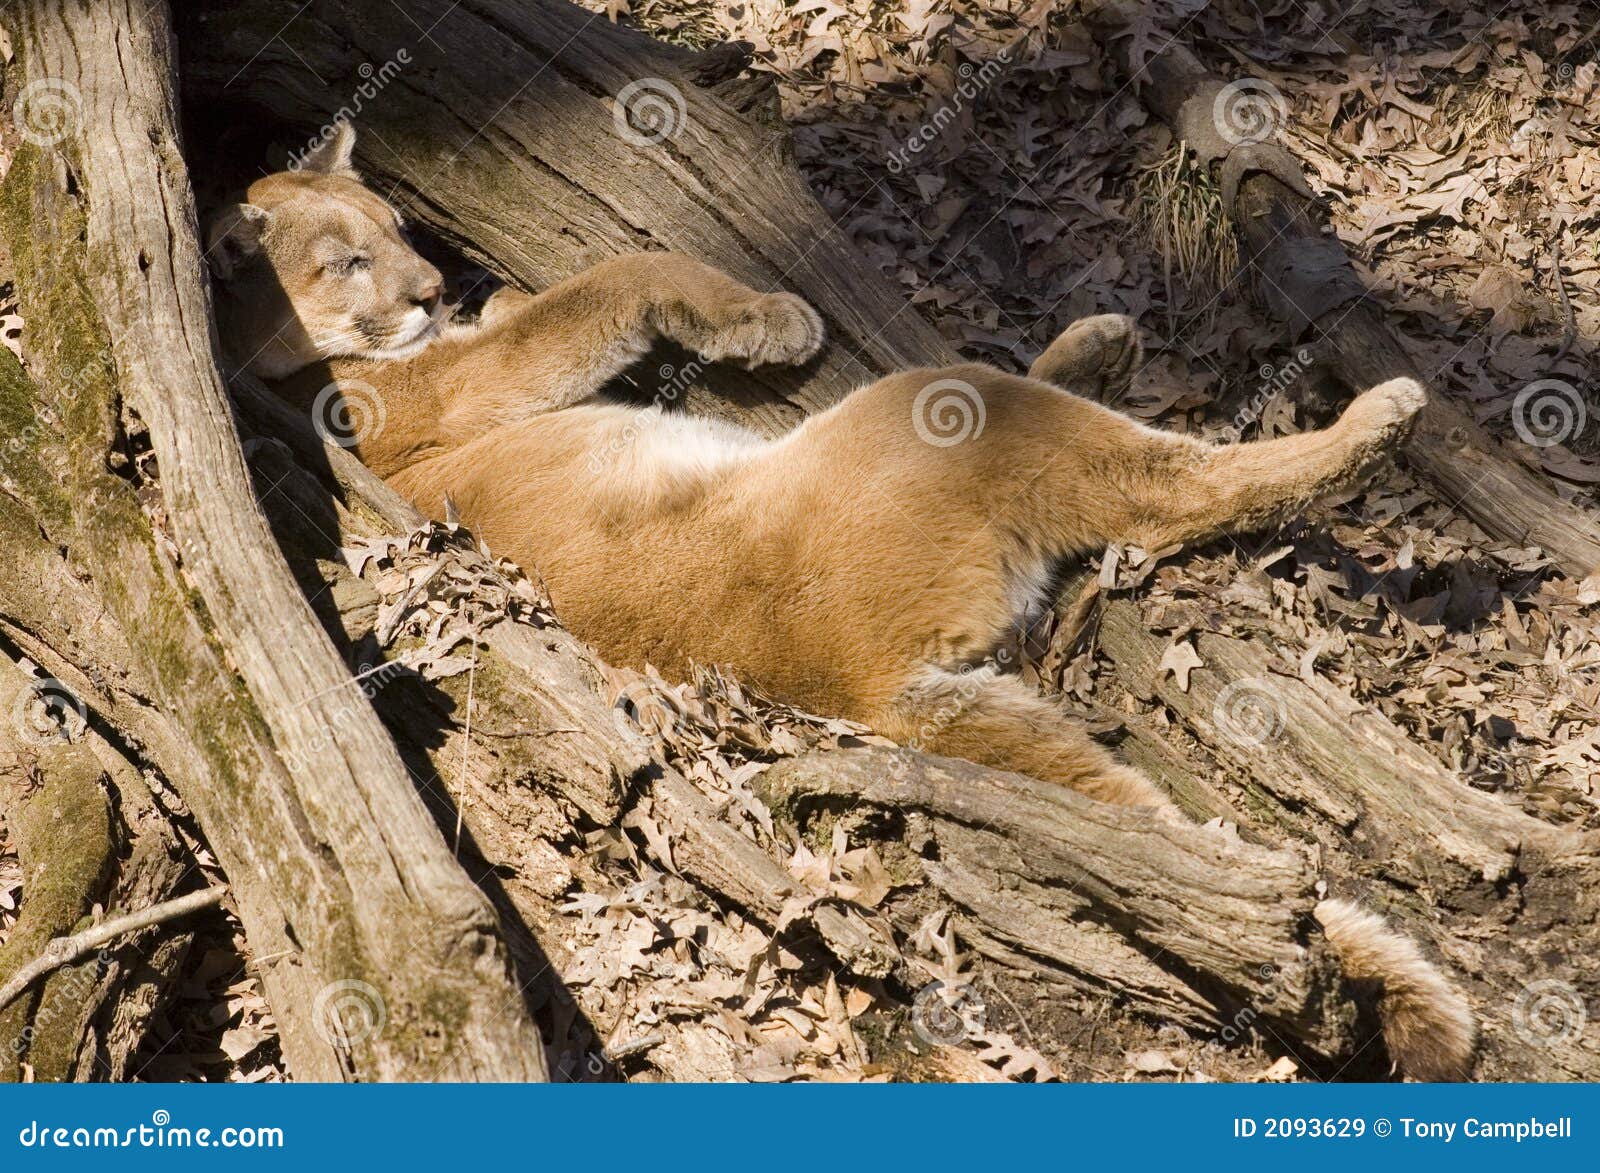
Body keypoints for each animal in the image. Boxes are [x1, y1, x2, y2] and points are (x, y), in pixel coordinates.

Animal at [207, 124, 1476, 1081]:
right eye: (346, 260)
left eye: (394, 229)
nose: (431, 287)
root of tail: (871, 687)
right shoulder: (472, 376)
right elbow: (623, 274)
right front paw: (770, 315)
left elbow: (563, 296)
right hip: (946, 410)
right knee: (1170, 489)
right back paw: (1375, 419)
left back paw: (1097, 343)